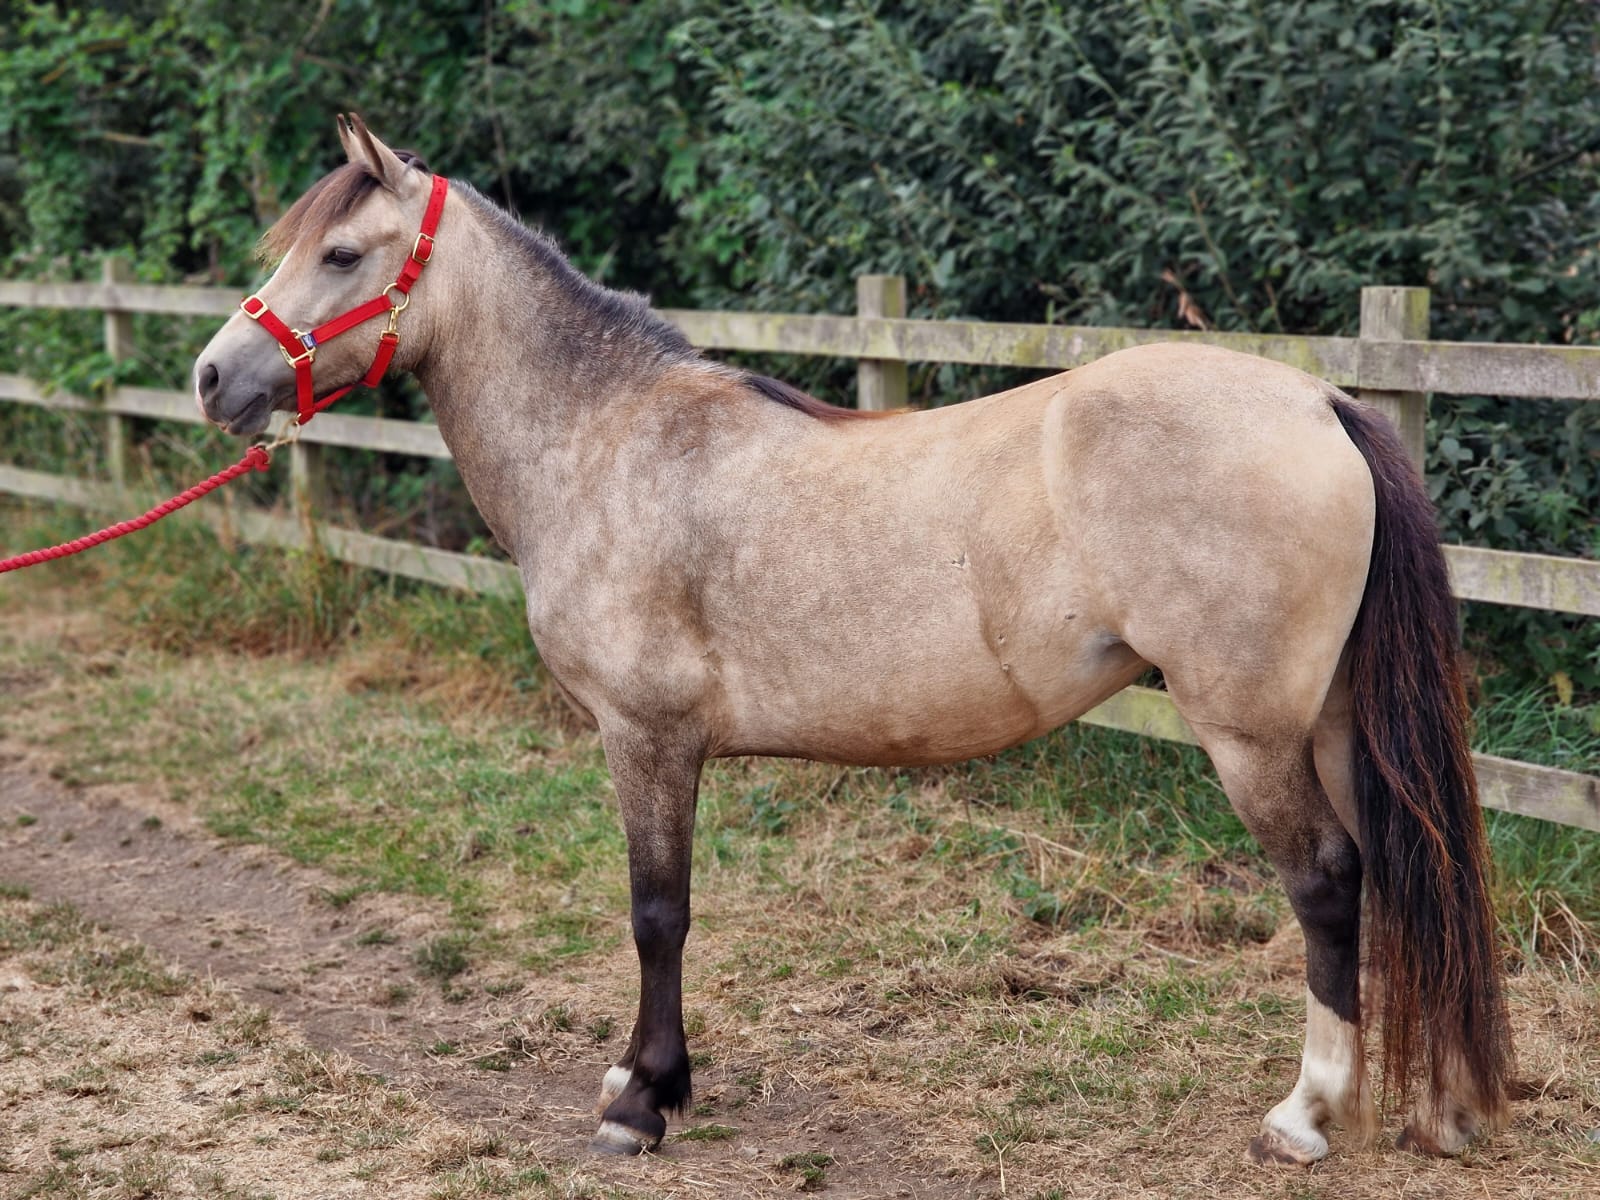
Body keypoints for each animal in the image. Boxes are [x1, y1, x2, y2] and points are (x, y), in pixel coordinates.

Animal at [193, 115, 1510, 1164]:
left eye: (343, 254)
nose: (213, 378)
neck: (605, 438)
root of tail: (1319, 401)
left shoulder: (647, 739)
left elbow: (656, 913)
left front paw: (643, 1101)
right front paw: (643, 1078)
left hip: (1248, 732)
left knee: (1327, 882)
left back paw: (1304, 1115)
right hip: (1332, 720)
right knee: (1404, 872)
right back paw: (1439, 1108)